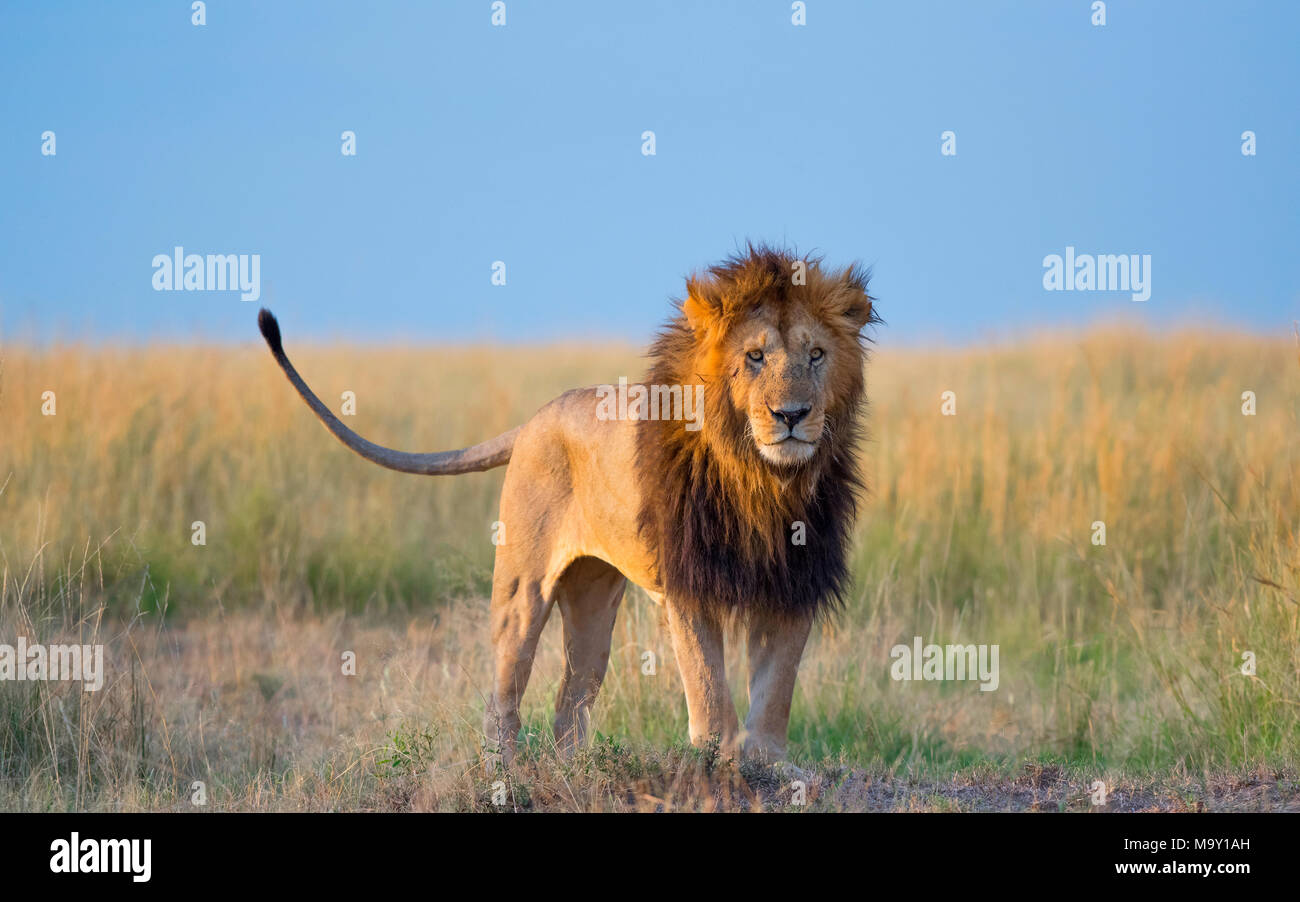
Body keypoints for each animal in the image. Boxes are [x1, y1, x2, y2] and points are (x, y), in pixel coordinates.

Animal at [257, 244, 875, 765]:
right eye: (754, 357)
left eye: (816, 355)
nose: (791, 415)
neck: (764, 479)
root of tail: (535, 417)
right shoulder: (690, 586)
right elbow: (708, 688)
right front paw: (715, 762)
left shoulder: (793, 586)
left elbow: (774, 692)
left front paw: (769, 767)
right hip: (521, 588)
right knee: (504, 694)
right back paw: (504, 774)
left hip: (593, 598)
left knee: (570, 701)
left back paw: (575, 771)